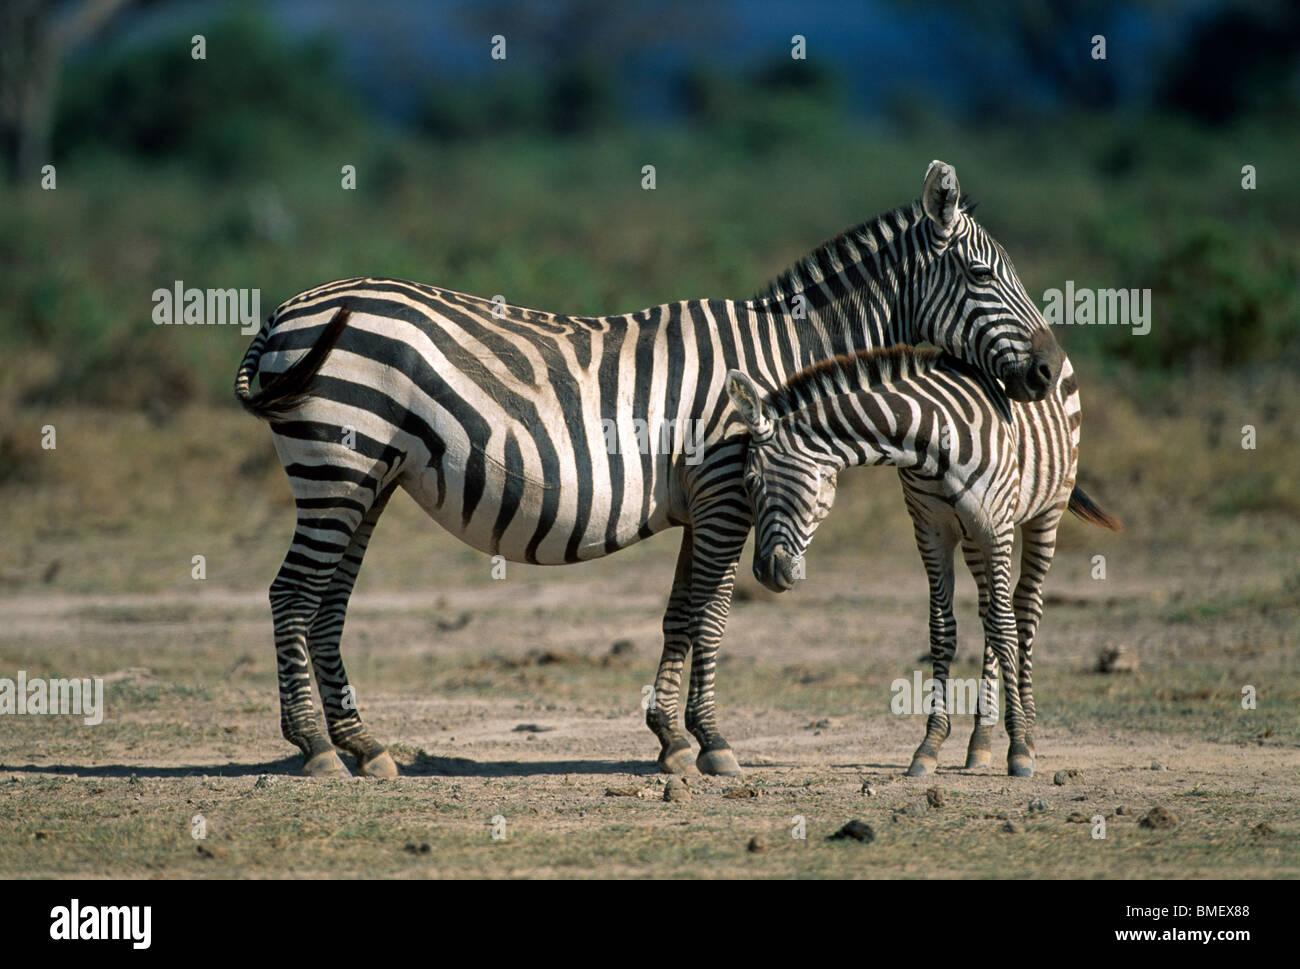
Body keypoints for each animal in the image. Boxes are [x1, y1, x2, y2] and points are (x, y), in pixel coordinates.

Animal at [233, 160, 1066, 778]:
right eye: (983, 275)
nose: (1053, 371)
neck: (780, 361)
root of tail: (285, 313)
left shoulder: (704, 502)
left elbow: (677, 614)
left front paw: (670, 738)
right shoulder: (730, 490)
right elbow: (713, 614)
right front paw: (714, 743)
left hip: (367, 479)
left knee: (328, 602)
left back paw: (363, 745)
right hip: (336, 468)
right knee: (291, 594)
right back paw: (316, 748)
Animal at [725, 344, 1121, 777]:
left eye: (749, 481)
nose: (765, 574)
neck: (932, 444)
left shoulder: (995, 528)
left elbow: (1005, 627)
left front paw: (1019, 746)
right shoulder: (931, 531)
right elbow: (943, 630)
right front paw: (930, 746)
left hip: (1045, 513)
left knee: (1023, 610)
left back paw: (1027, 732)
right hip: (971, 539)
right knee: (988, 611)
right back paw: (980, 741)